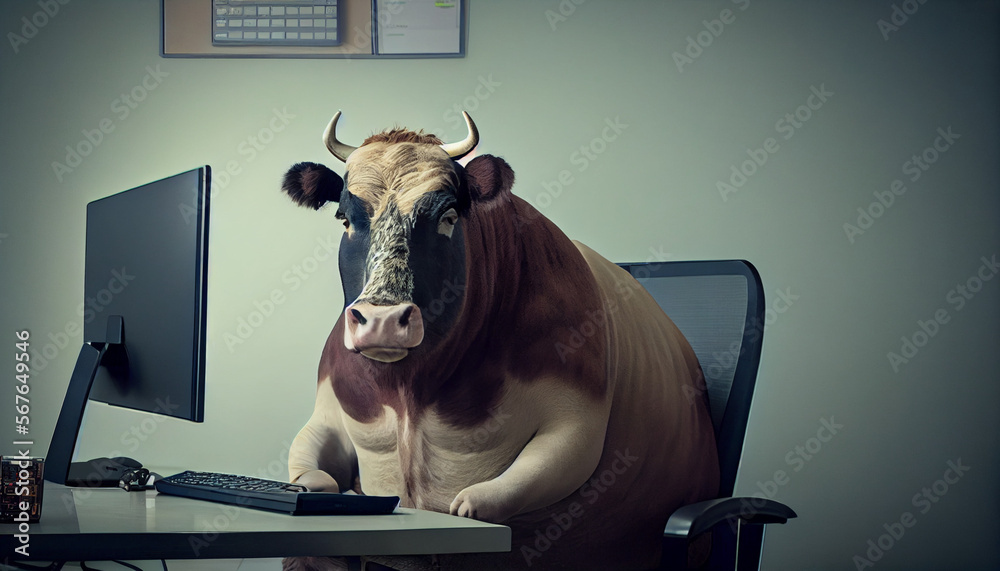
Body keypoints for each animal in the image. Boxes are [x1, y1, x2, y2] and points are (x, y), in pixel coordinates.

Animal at [281, 112, 719, 570]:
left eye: (448, 216)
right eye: (345, 220)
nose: (382, 320)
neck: (410, 389)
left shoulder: (578, 415)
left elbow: (493, 492)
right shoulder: (327, 411)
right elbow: (311, 464)